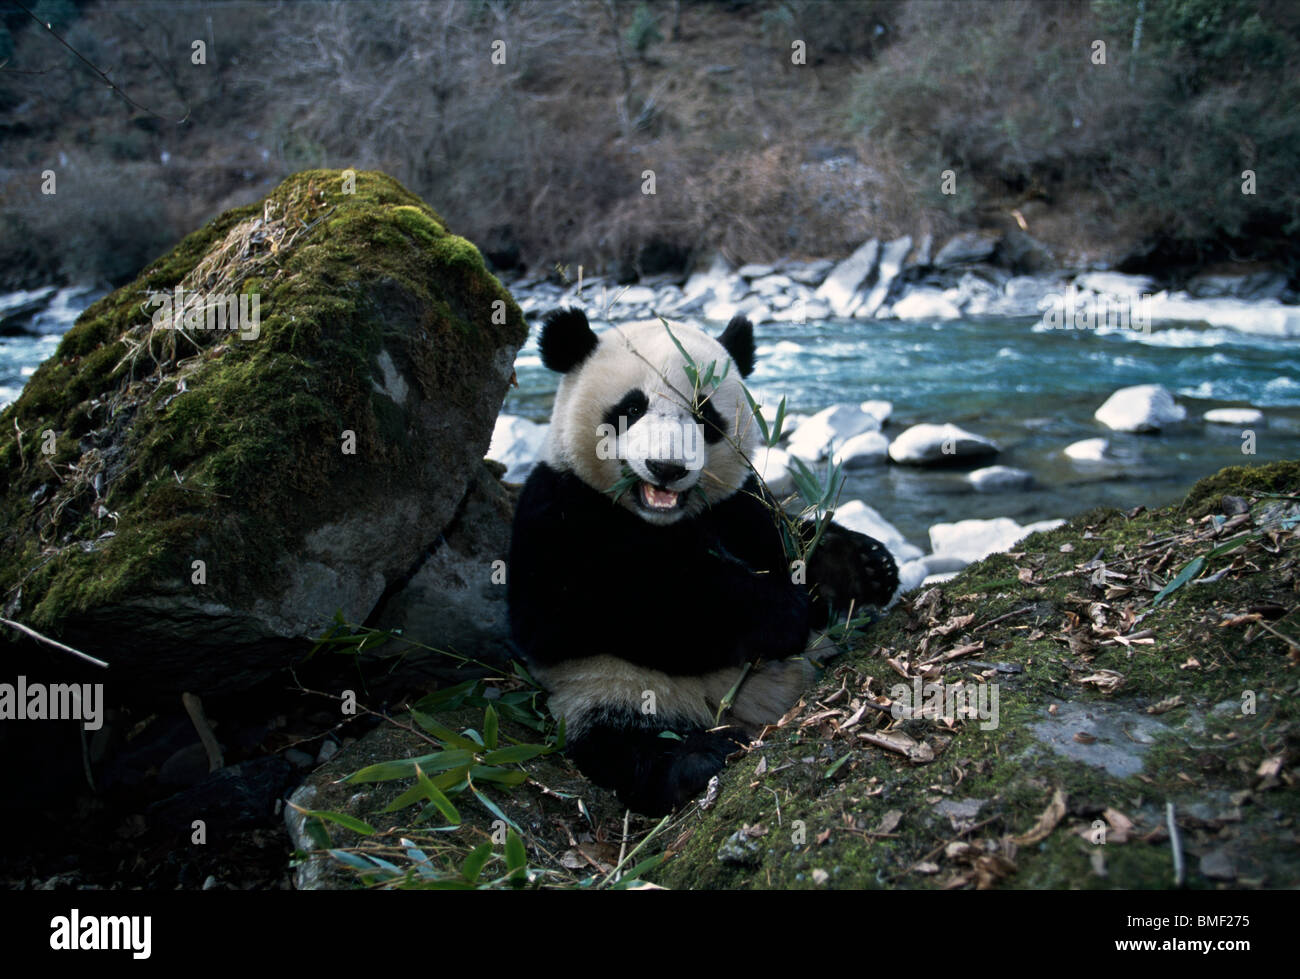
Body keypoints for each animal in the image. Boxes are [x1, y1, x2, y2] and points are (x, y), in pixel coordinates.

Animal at [507, 307, 898, 815]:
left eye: (704, 414)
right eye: (631, 409)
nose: (667, 467)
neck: (660, 520)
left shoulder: (736, 507)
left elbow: (788, 539)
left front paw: (863, 567)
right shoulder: (560, 507)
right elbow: (587, 609)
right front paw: (779, 614)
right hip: (609, 689)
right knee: (623, 742)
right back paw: (699, 758)